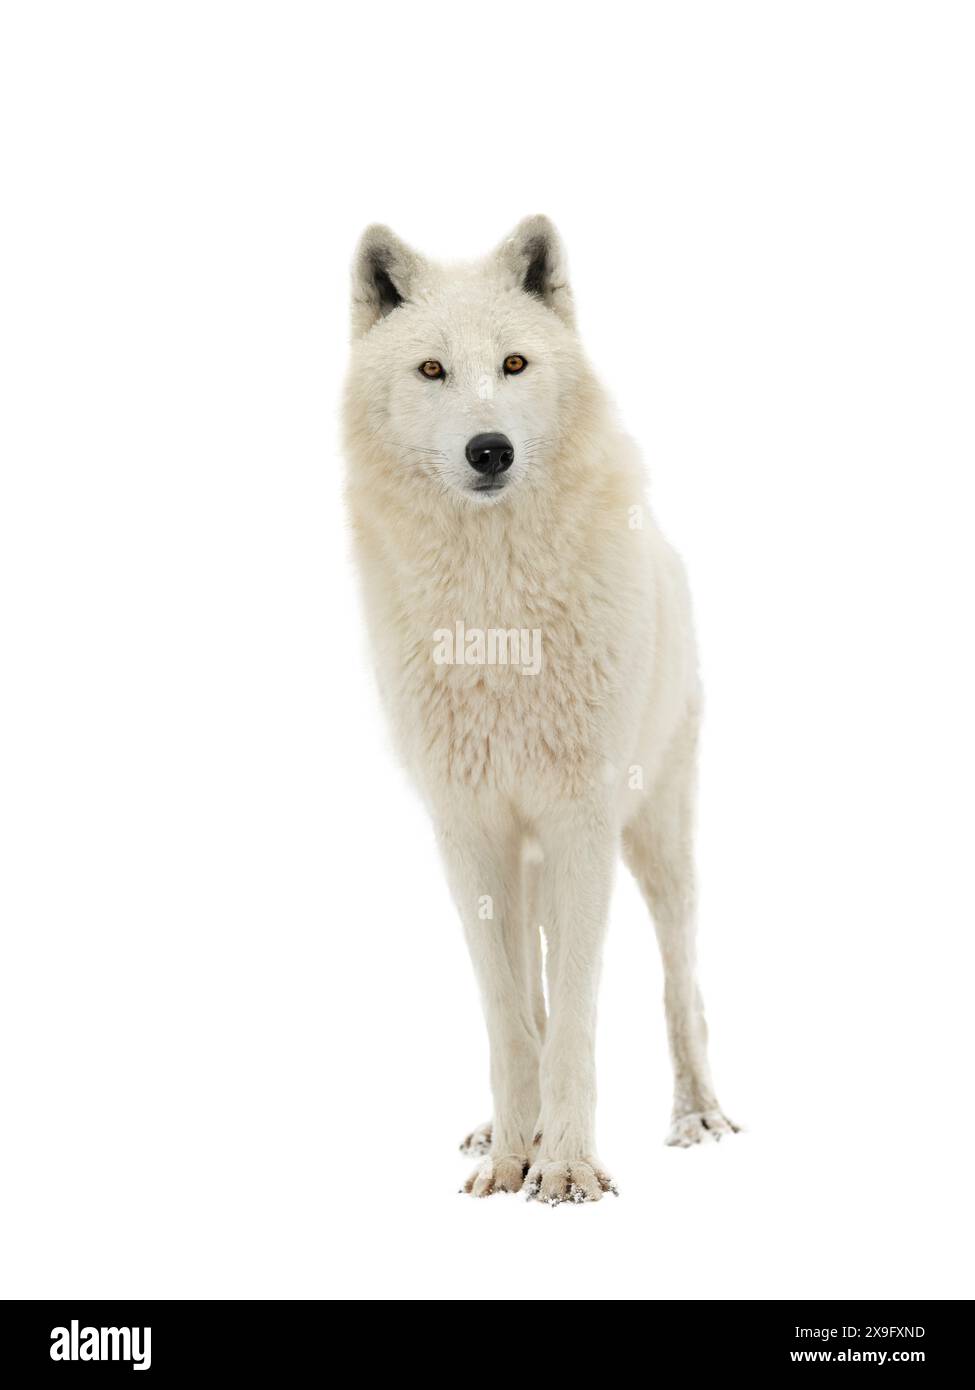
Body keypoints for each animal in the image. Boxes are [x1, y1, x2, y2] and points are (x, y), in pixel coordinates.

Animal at [343, 216, 737, 1203]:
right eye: (432, 370)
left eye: (514, 363)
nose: (490, 449)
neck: (496, 621)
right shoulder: (468, 829)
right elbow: (508, 1014)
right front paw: (514, 1156)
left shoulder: (579, 821)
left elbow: (578, 1019)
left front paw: (564, 1167)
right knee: (529, 991)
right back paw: (499, 1133)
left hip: (658, 836)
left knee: (680, 984)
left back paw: (699, 1117)